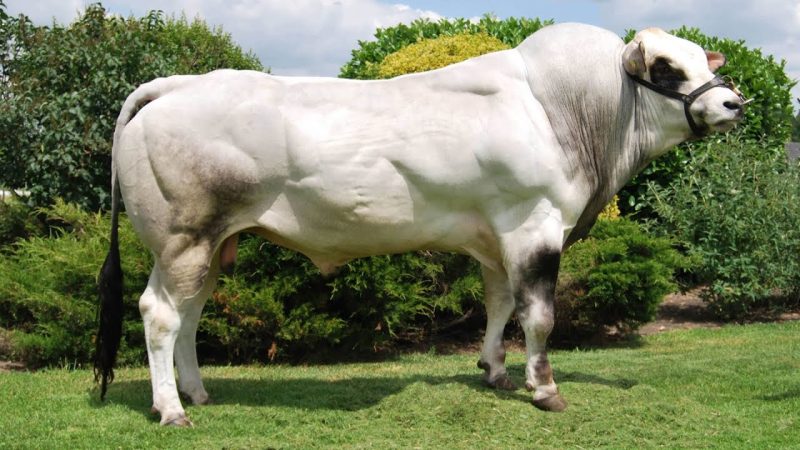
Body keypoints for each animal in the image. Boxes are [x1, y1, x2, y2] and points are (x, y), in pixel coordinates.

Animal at [95, 23, 746, 426]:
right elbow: (538, 315)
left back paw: (197, 392)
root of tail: (178, 84)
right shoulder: (535, 226)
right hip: (183, 238)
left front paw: (494, 371)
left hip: (212, 244)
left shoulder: (494, 237)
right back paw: (171, 409)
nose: (732, 103)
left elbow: (499, 305)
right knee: (160, 314)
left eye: (700, 60)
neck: (559, 111)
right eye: (665, 67)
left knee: (190, 316)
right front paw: (544, 389)